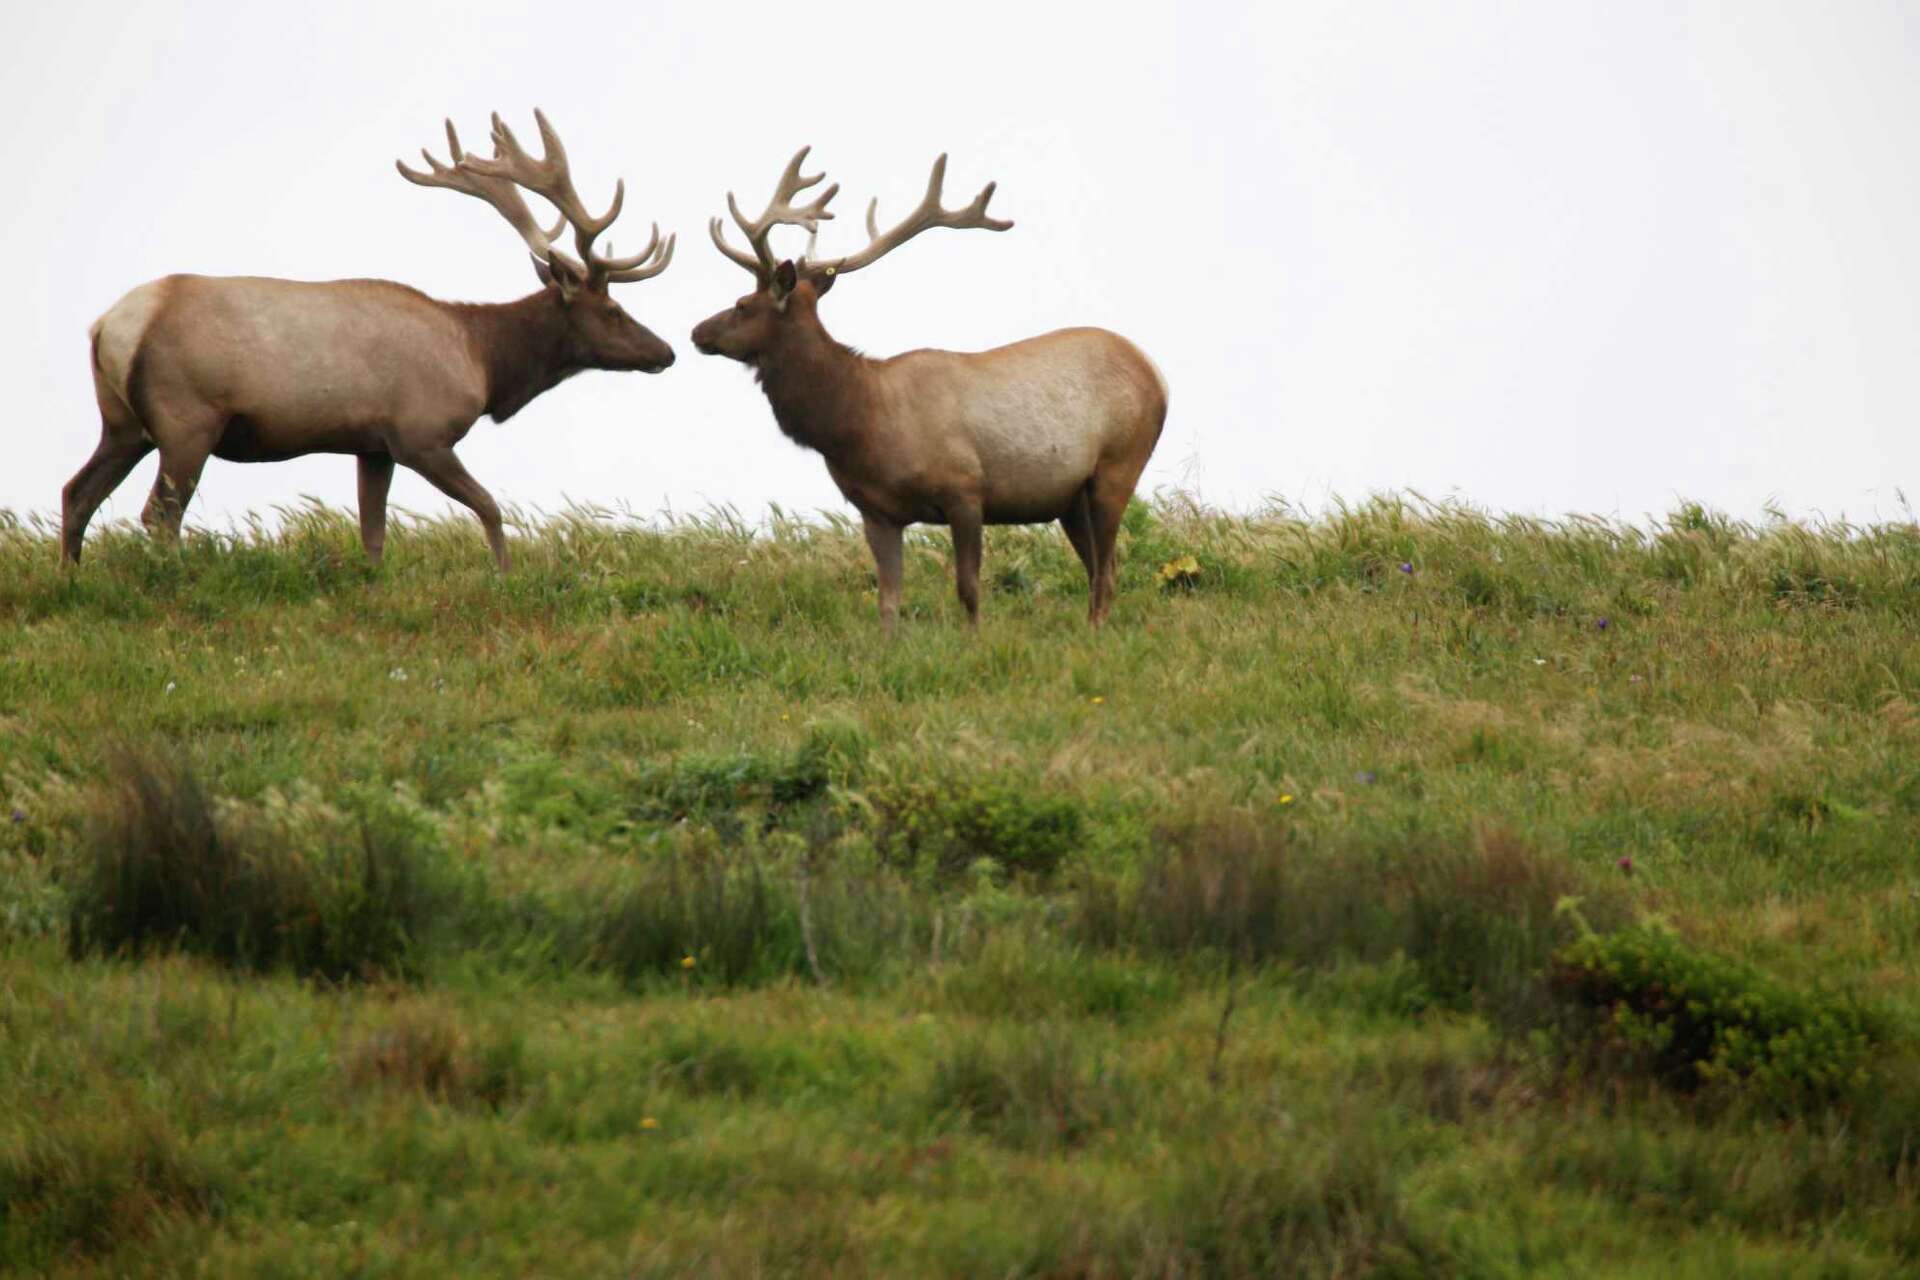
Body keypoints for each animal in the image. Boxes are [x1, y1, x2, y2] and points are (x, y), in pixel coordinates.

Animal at [62, 110, 676, 570]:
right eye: (614, 310)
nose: (666, 352)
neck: (482, 360)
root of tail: (110, 326)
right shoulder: (421, 433)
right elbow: (490, 507)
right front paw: (505, 574)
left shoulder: (372, 445)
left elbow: (373, 532)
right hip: (187, 419)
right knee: (158, 513)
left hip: (123, 422)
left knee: (77, 493)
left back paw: (71, 577)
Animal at [691, 148, 1167, 629]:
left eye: (742, 305)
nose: (696, 331)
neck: (858, 421)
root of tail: (1155, 371)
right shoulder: (877, 511)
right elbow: (888, 601)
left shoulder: (965, 489)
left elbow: (969, 588)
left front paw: (975, 640)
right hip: (1070, 498)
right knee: (1102, 567)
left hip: (1118, 466)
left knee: (1106, 570)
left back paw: (1095, 633)